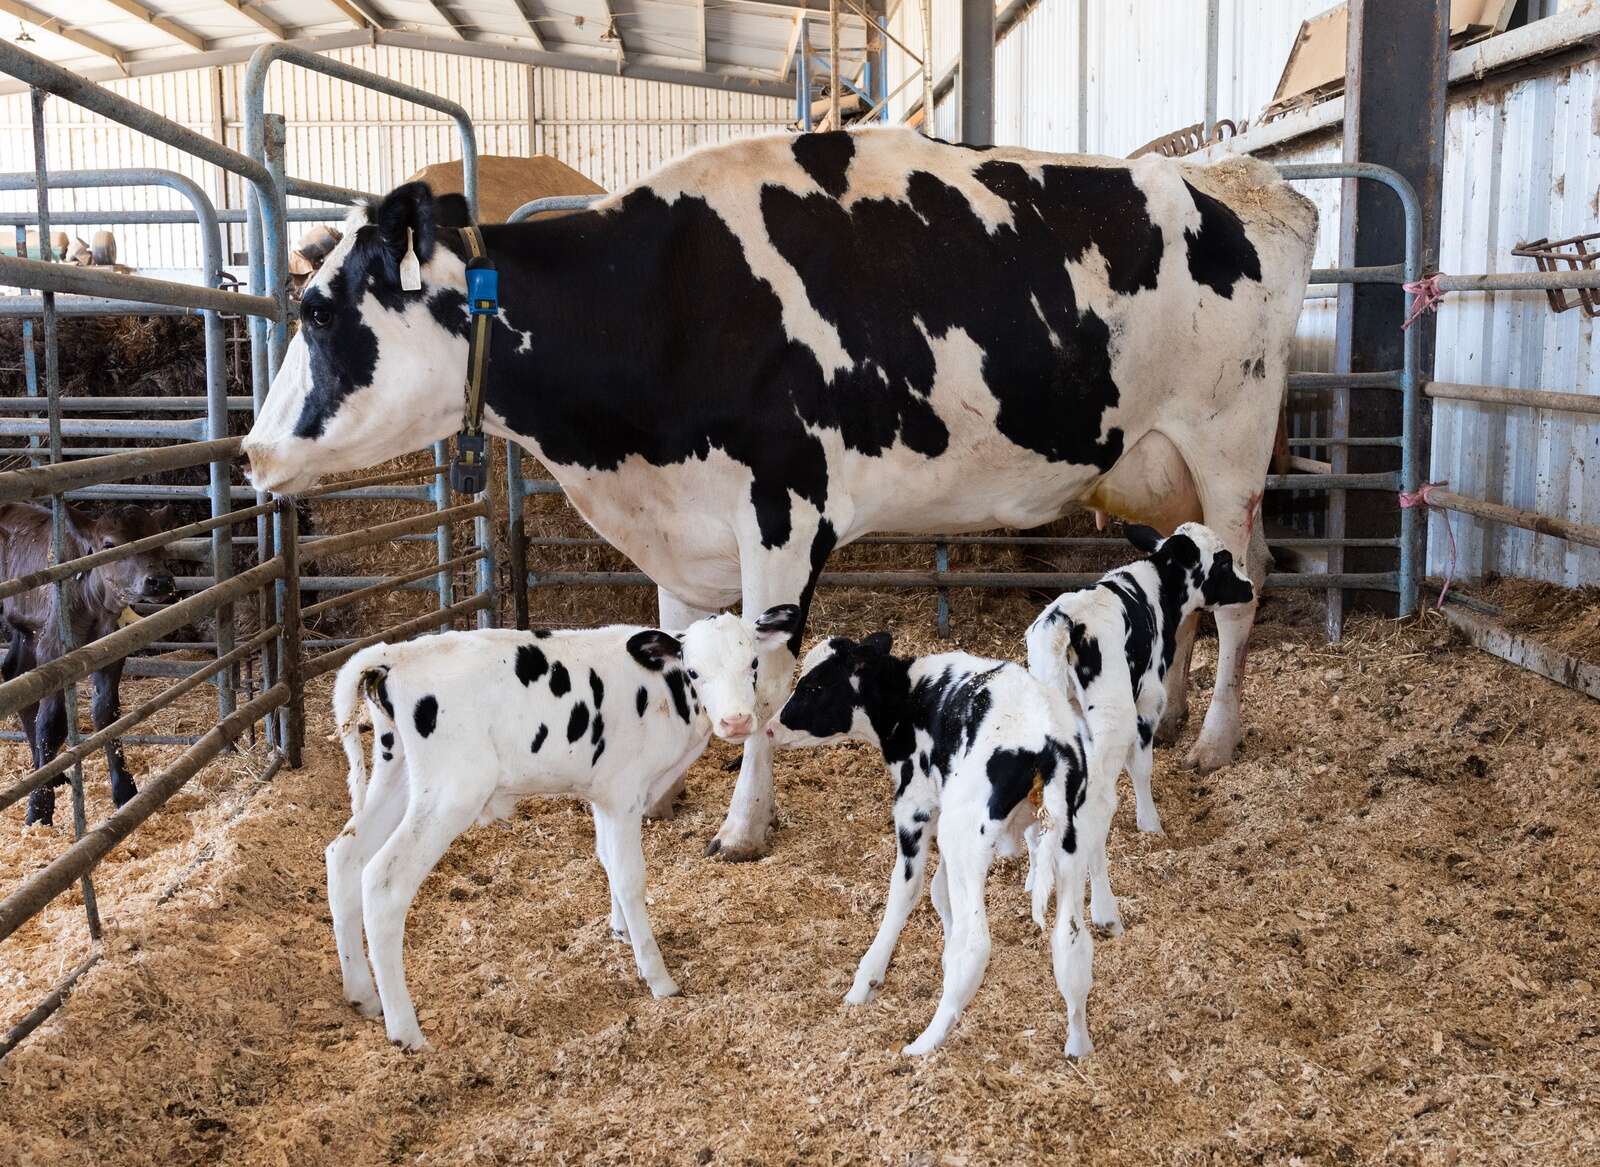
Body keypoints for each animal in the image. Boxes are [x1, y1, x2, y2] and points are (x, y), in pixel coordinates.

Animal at [0, 501, 177, 825]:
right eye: (109, 544)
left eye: (159, 539)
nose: (159, 581)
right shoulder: (52, 650)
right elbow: (51, 723)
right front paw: (39, 809)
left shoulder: (112, 651)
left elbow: (106, 713)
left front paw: (125, 790)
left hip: (27, 632)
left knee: (15, 672)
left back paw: (48, 772)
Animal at [327, 605, 799, 1050]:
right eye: (695, 671)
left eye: (752, 664)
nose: (737, 722)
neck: (663, 693)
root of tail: (396, 654)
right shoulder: (623, 792)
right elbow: (630, 877)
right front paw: (656, 975)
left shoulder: (603, 795)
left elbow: (607, 861)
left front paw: (620, 930)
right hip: (451, 792)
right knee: (384, 883)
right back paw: (405, 1031)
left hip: (398, 774)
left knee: (343, 856)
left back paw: (362, 994)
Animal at [766, 634, 1109, 1057]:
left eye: (814, 686)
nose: (769, 728)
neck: (912, 697)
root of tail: (1047, 746)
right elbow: (940, 892)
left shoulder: (915, 808)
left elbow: (906, 891)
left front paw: (866, 981)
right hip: (1067, 844)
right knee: (1071, 940)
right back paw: (1078, 1044)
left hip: (964, 835)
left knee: (976, 942)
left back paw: (926, 1041)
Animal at [1026, 522, 1256, 839]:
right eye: (1223, 561)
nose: (1250, 586)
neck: (1156, 587)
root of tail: (1066, 624)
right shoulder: (1149, 697)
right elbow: (1140, 766)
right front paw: (1150, 825)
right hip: (1114, 713)